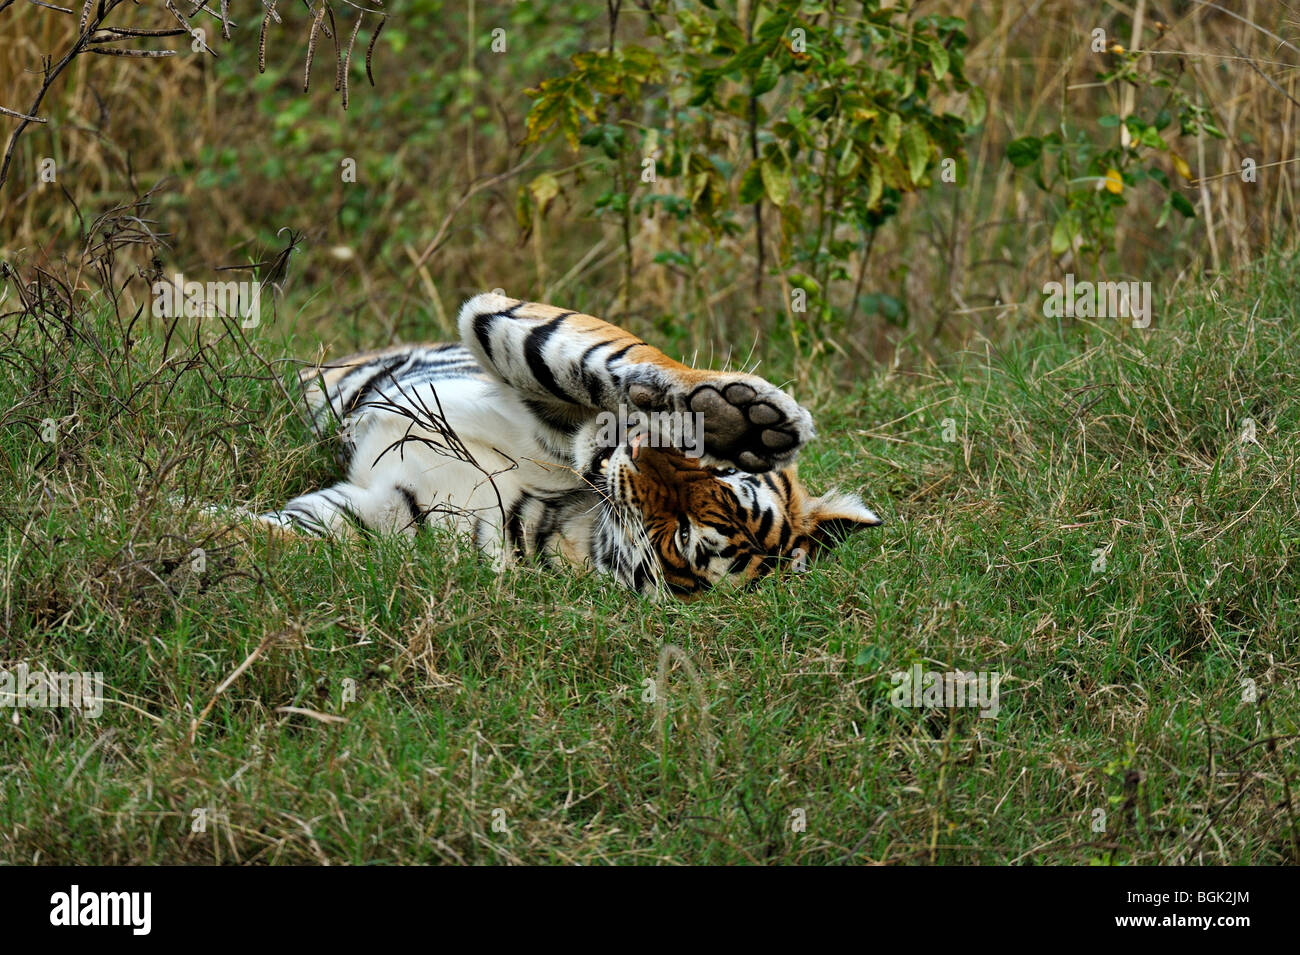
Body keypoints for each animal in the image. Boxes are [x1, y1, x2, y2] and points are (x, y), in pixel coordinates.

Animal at [257, 293, 882, 598]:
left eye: (686, 535)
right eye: (720, 470)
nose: (641, 452)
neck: (576, 511)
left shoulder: (378, 515)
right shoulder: (516, 330)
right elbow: (598, 360)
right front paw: (734, 420)